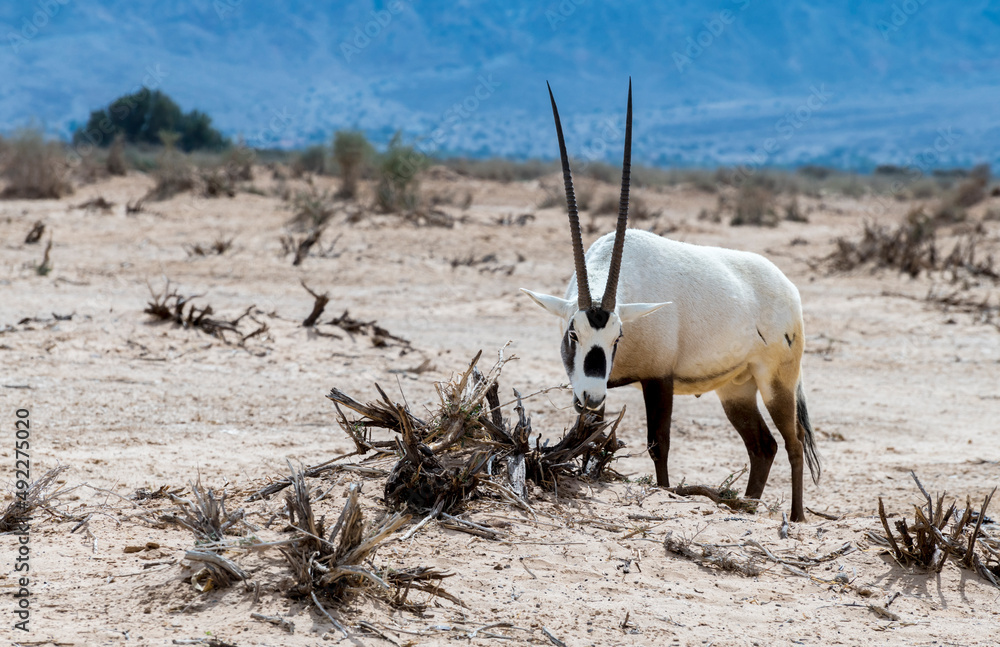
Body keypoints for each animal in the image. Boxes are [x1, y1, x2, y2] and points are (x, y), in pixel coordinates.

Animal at [522, 81, 820, 522]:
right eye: (573, 334)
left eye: (618, 337)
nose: (590, 396)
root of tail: (790, 291)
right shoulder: (595, 386)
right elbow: (591, 438)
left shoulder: (658, 378)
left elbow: (658, 443)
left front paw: (662, 493)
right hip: (737, 389)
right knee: (762, 446)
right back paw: (748, 506)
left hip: (777, 381)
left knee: (793, 442)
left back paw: (796, 518)